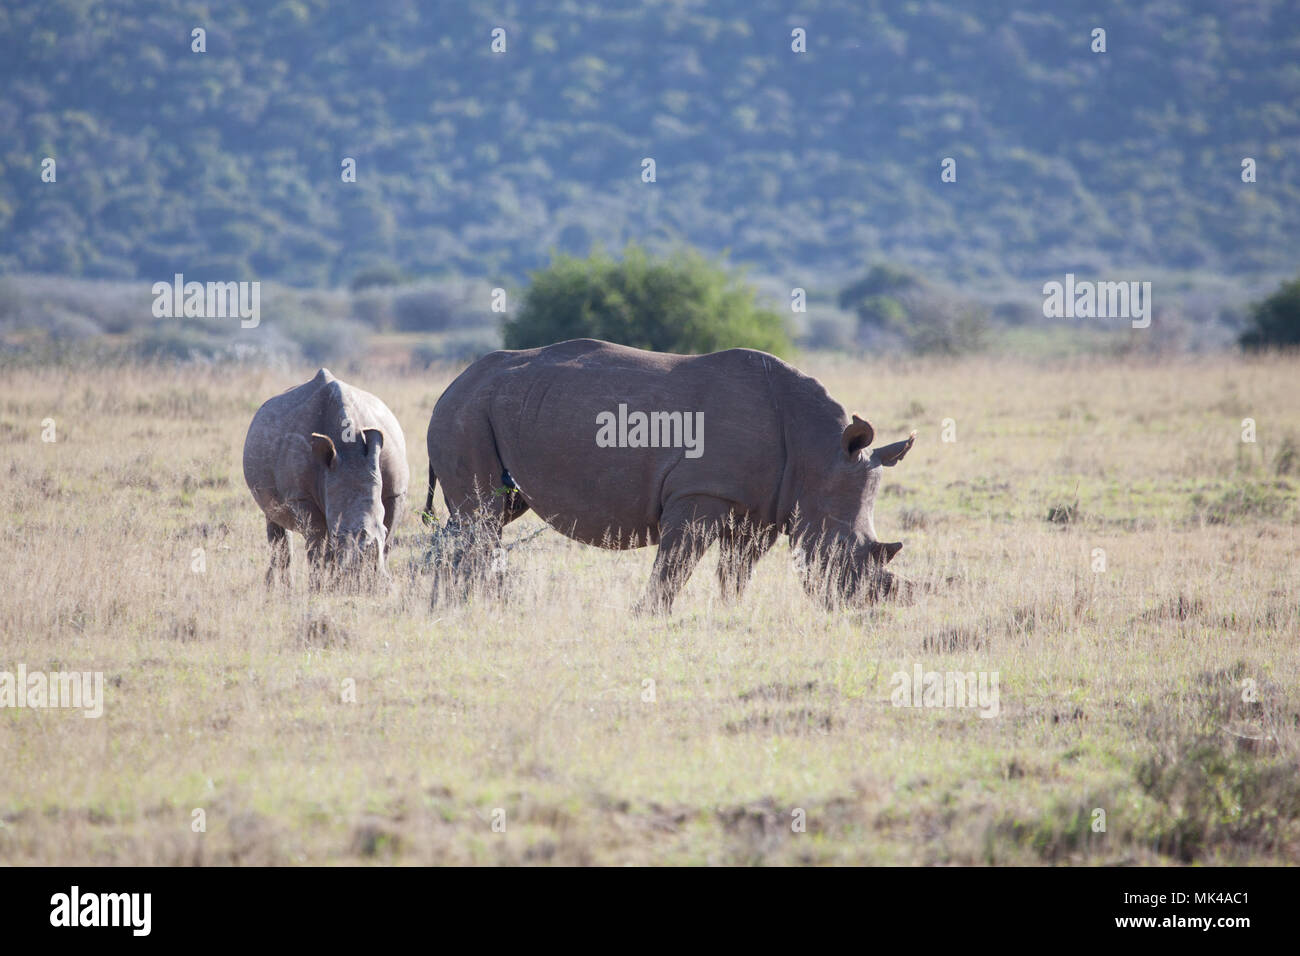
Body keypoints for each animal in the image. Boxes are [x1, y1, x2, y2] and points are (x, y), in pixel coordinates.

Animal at [243, 368, 409, 585]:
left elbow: (387, 541)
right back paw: (279, 589)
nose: (367, 584)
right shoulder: (300, 496)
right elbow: (318, 541)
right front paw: (321, 586)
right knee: (274, 520)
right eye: (338, 534)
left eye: (383, 530)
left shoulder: (395, 492)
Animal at [424, 339, 915, 611]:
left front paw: (730, 614)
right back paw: (479, 606)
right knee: (482, 515)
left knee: (483, 515)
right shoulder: (702, 492)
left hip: (490, 408)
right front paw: (649, 615)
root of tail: (451, 384)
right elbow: (676, 562)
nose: (862, 609)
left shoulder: (762, 509)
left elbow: (737, 570)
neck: (818, 451)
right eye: (840, 552)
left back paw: (441, 604)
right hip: (468, 411)